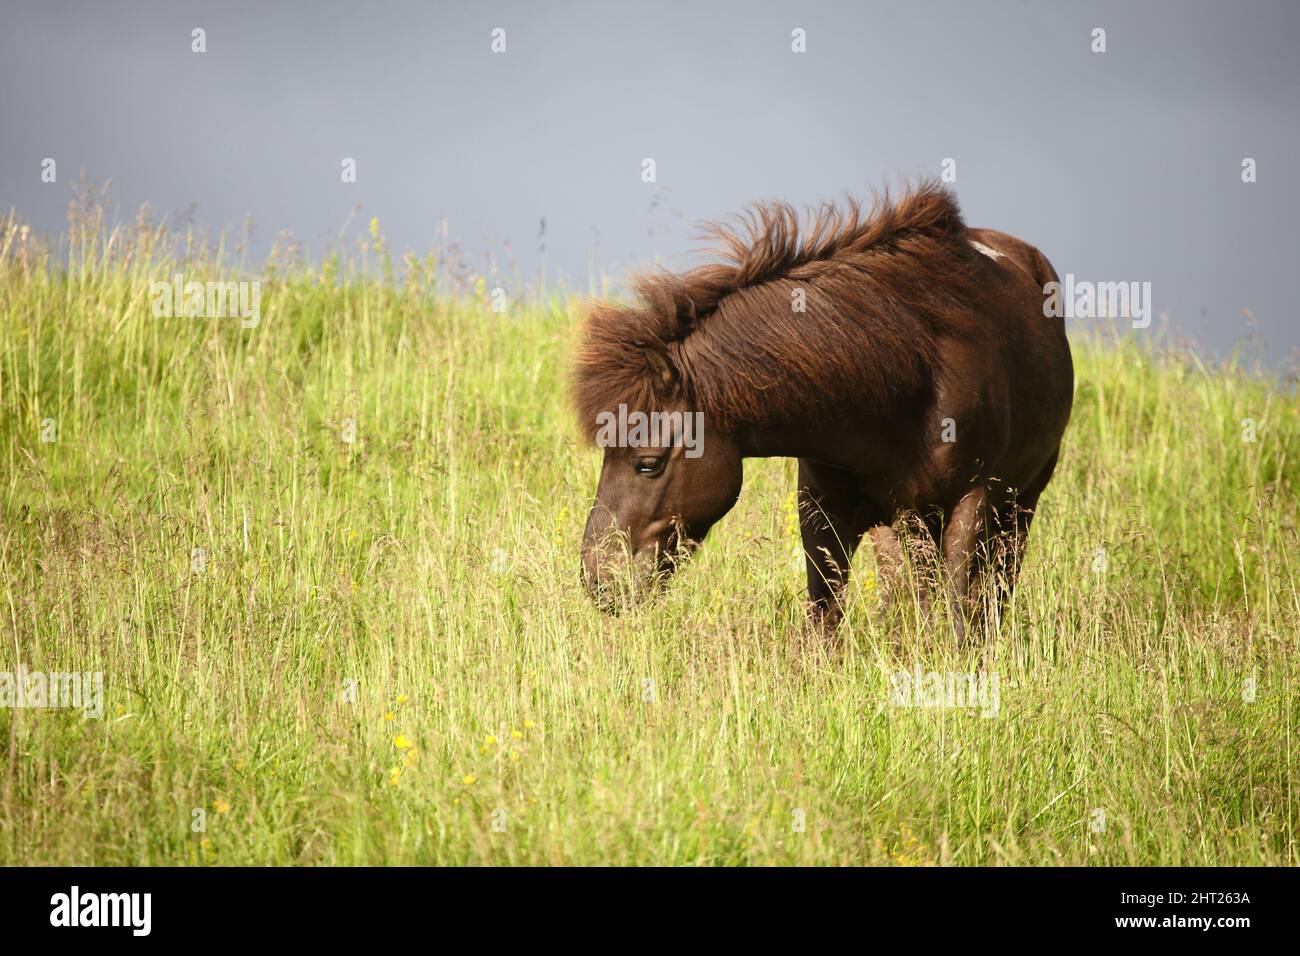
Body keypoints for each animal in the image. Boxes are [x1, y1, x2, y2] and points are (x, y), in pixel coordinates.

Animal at [573, 181, 1073, 636]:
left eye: (648, 463)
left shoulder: (970, 502)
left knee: (994, 586)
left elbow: (956, 613)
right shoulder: (823, 509)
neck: (912, 383)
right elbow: (825, 618)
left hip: (1017, 504)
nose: (600, 579)